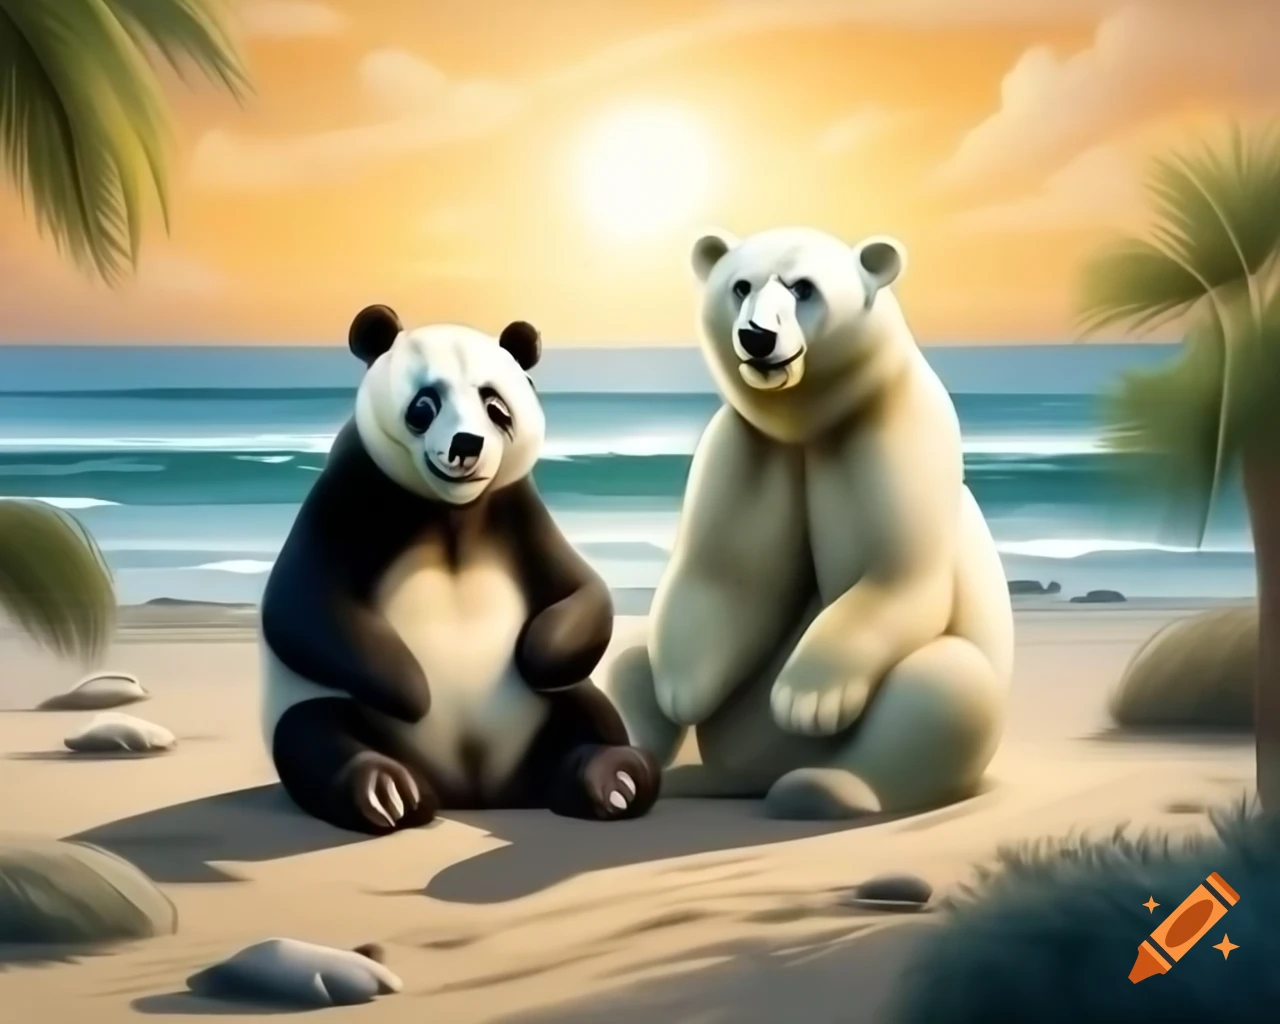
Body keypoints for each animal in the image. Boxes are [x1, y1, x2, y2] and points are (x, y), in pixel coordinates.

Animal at [258, 305, 661, 835]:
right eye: (423, 406)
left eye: (496, 407)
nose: (466, 443)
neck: (451, 510)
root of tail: (475, 791)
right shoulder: (351, 489)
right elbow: (298, 604)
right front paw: (411, 690)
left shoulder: (516, 508)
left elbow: (581, 589)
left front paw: (537, 654)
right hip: (327, 710)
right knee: (313, 732)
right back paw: (384, 790)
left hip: (548, 713)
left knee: (587, 713)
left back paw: (614, 776)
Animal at [607, 225, 1015, 820]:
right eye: (741, 285)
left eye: (803, 288)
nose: (756, 336)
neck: (811, 418)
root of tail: (752, 774)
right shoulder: (749, 446)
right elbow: (726, 573)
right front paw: (683, 686)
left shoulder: (898, 428)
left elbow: (897, 574)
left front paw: (806, 699)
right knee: (630, 655)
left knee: (946, 686)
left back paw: (825, 787)